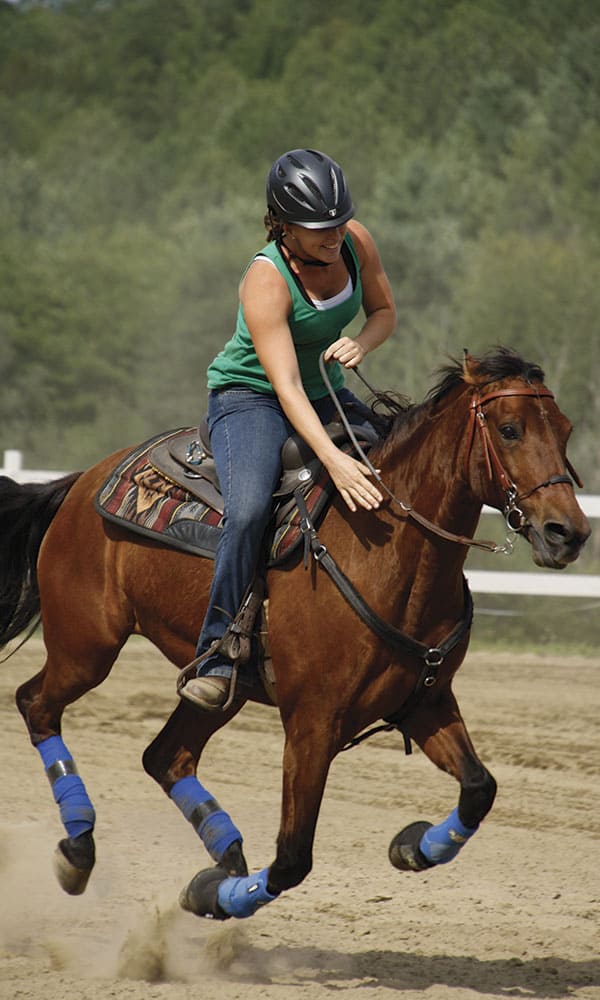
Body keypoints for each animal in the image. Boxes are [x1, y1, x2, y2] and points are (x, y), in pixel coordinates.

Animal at [0, 347, 590, 921]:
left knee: (166, 755)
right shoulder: (313, 723)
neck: (390, 554)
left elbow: (479, 789)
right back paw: (80, 850)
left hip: (222, 687)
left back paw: (226, 854)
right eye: (509, 429)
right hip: (86, 647)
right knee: (35, 704)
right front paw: (214, 896)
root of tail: (81, 481)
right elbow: (291, 860)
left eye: (564, 430)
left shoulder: (426, 701)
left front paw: (412, 846)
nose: (569, 533)